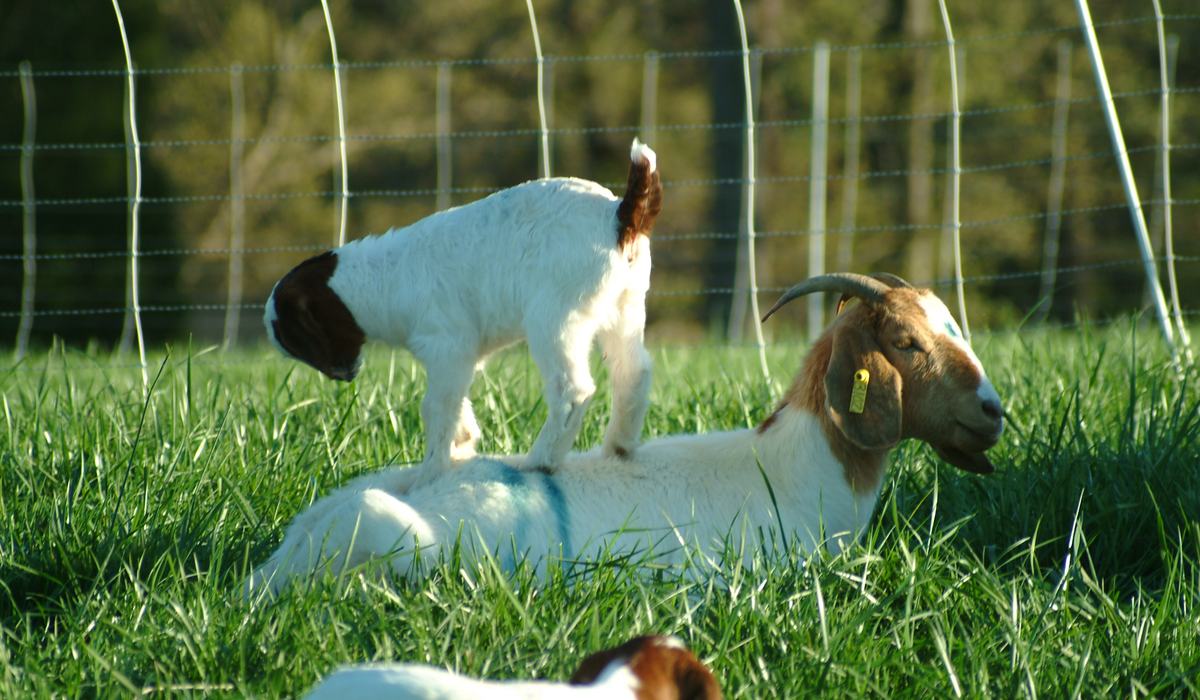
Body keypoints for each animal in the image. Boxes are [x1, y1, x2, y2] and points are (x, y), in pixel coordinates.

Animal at [264, 140, 661, 484]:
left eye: (296, 338)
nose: (343, 376)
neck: (386, 277)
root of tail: (618, 215)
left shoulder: (447, 345)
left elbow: (435, 406)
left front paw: (431, 470)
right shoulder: (458, 358)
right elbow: (455, 401)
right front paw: (464, 440)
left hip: (557, 319)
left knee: (572, 390)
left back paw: (541, 459)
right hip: (625, 307)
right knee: (633, 372)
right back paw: (619, 446)